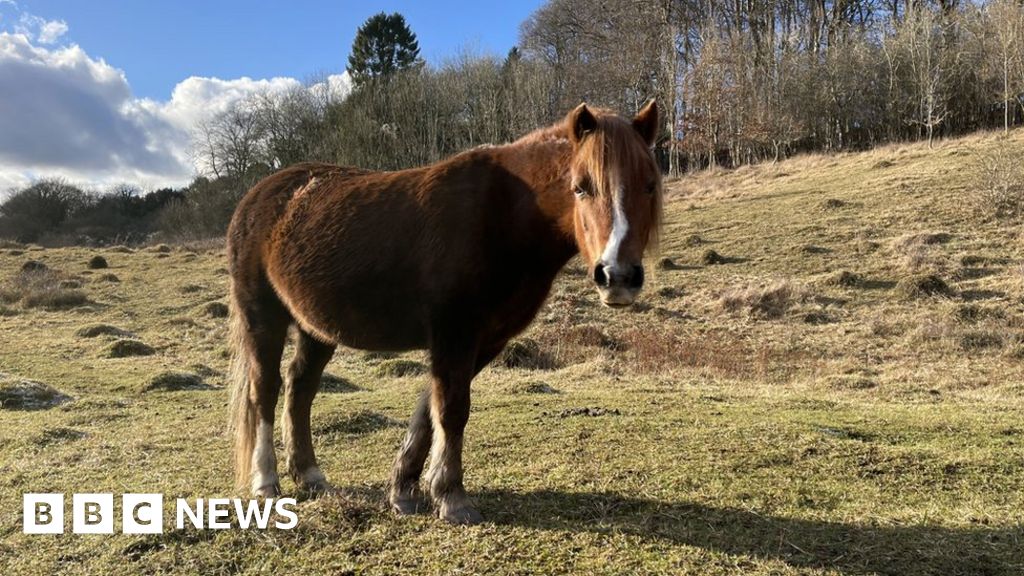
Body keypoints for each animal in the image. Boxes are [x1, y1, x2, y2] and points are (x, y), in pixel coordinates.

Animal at [226, 100, 664, 524]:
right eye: (581, 187)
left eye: (649, 185)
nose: (618, 276)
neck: (504, 213)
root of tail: (258, 196)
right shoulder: (453, 334)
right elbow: (452, 411)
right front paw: (452, 498)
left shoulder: (482, 340)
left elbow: (429, 410)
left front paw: (404, 490)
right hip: (262, 317)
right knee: (265, 390)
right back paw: (266, 481)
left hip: (316, 329)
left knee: (300, 387)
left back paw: (310, 474)